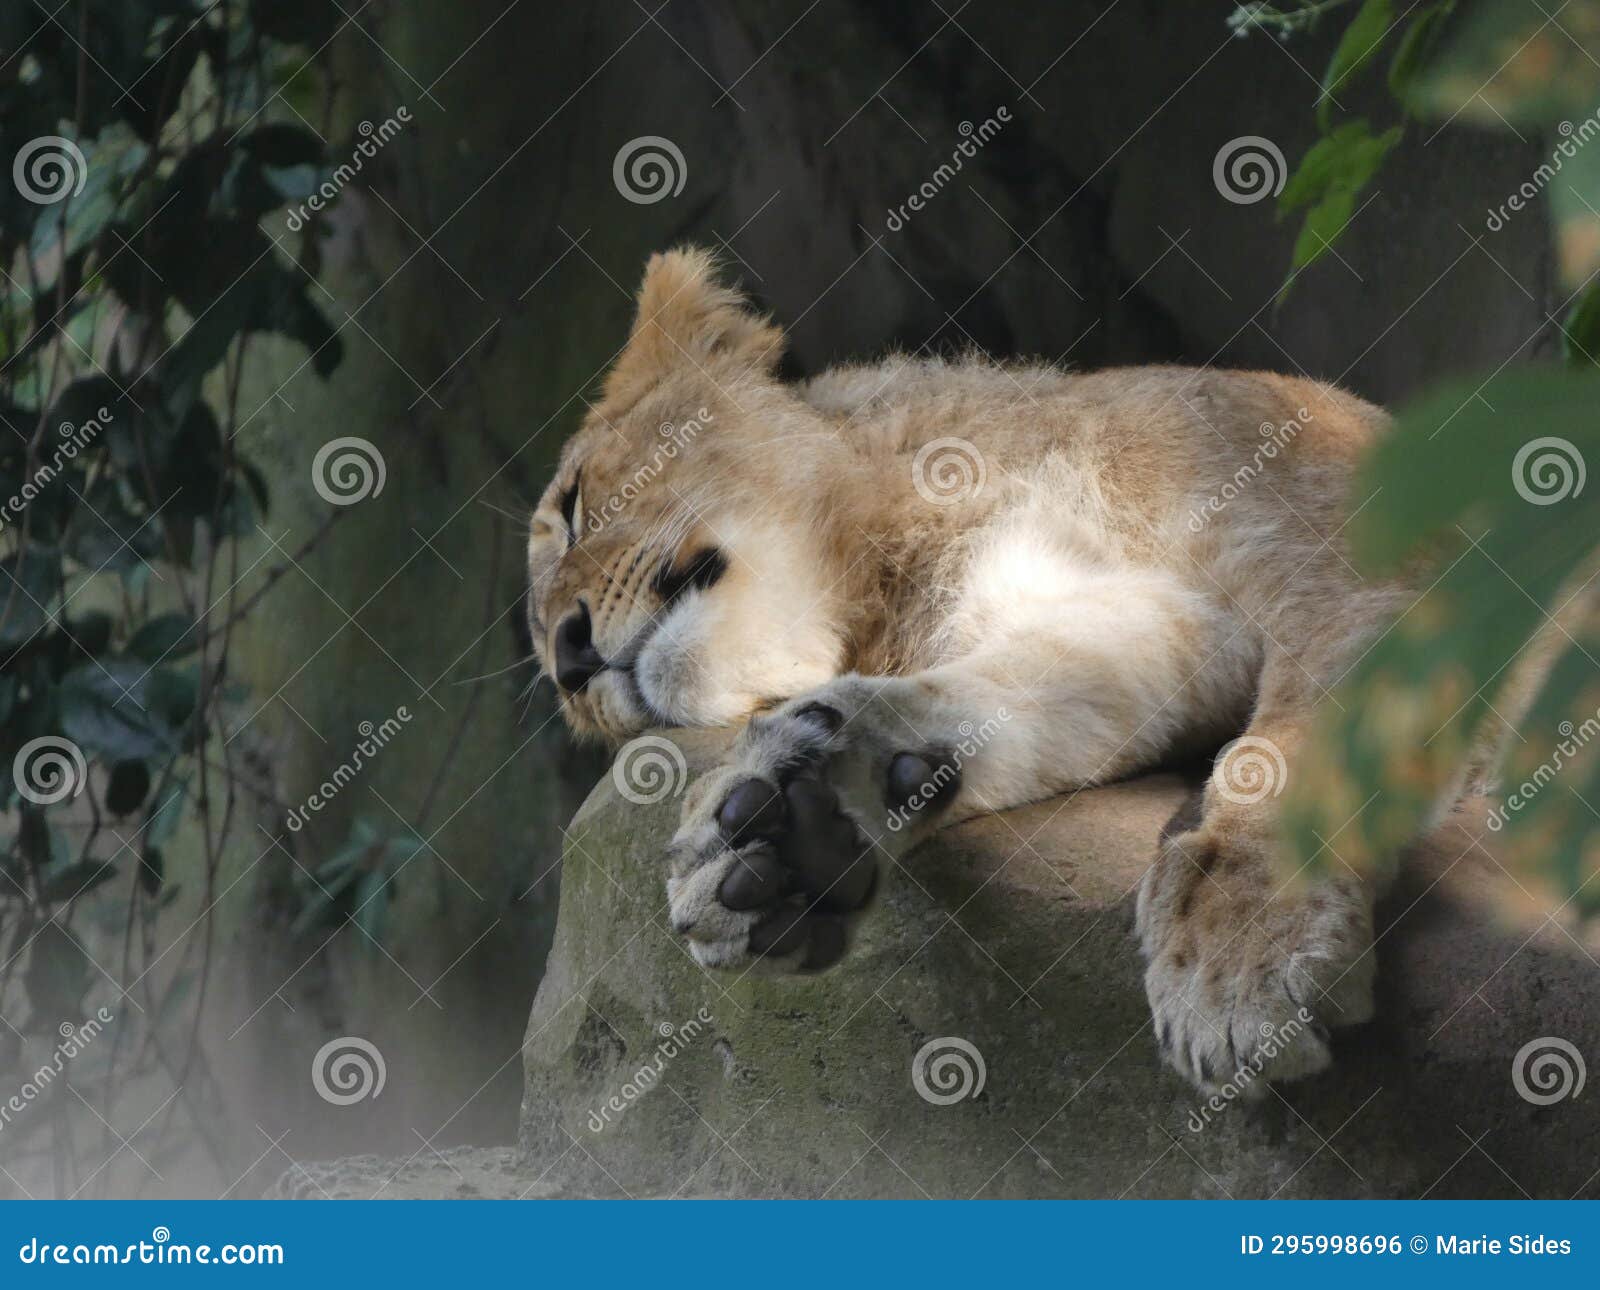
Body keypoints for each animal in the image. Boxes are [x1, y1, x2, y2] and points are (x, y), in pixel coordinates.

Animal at [527, 247, 1426, 1095]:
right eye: (549, 663)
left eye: (572, 506)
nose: (568, 663)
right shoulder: (1161, 626)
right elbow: (993, 699)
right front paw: (786, 826)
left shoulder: (1356, 565)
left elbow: (1292, 751)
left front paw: (1242, 951)